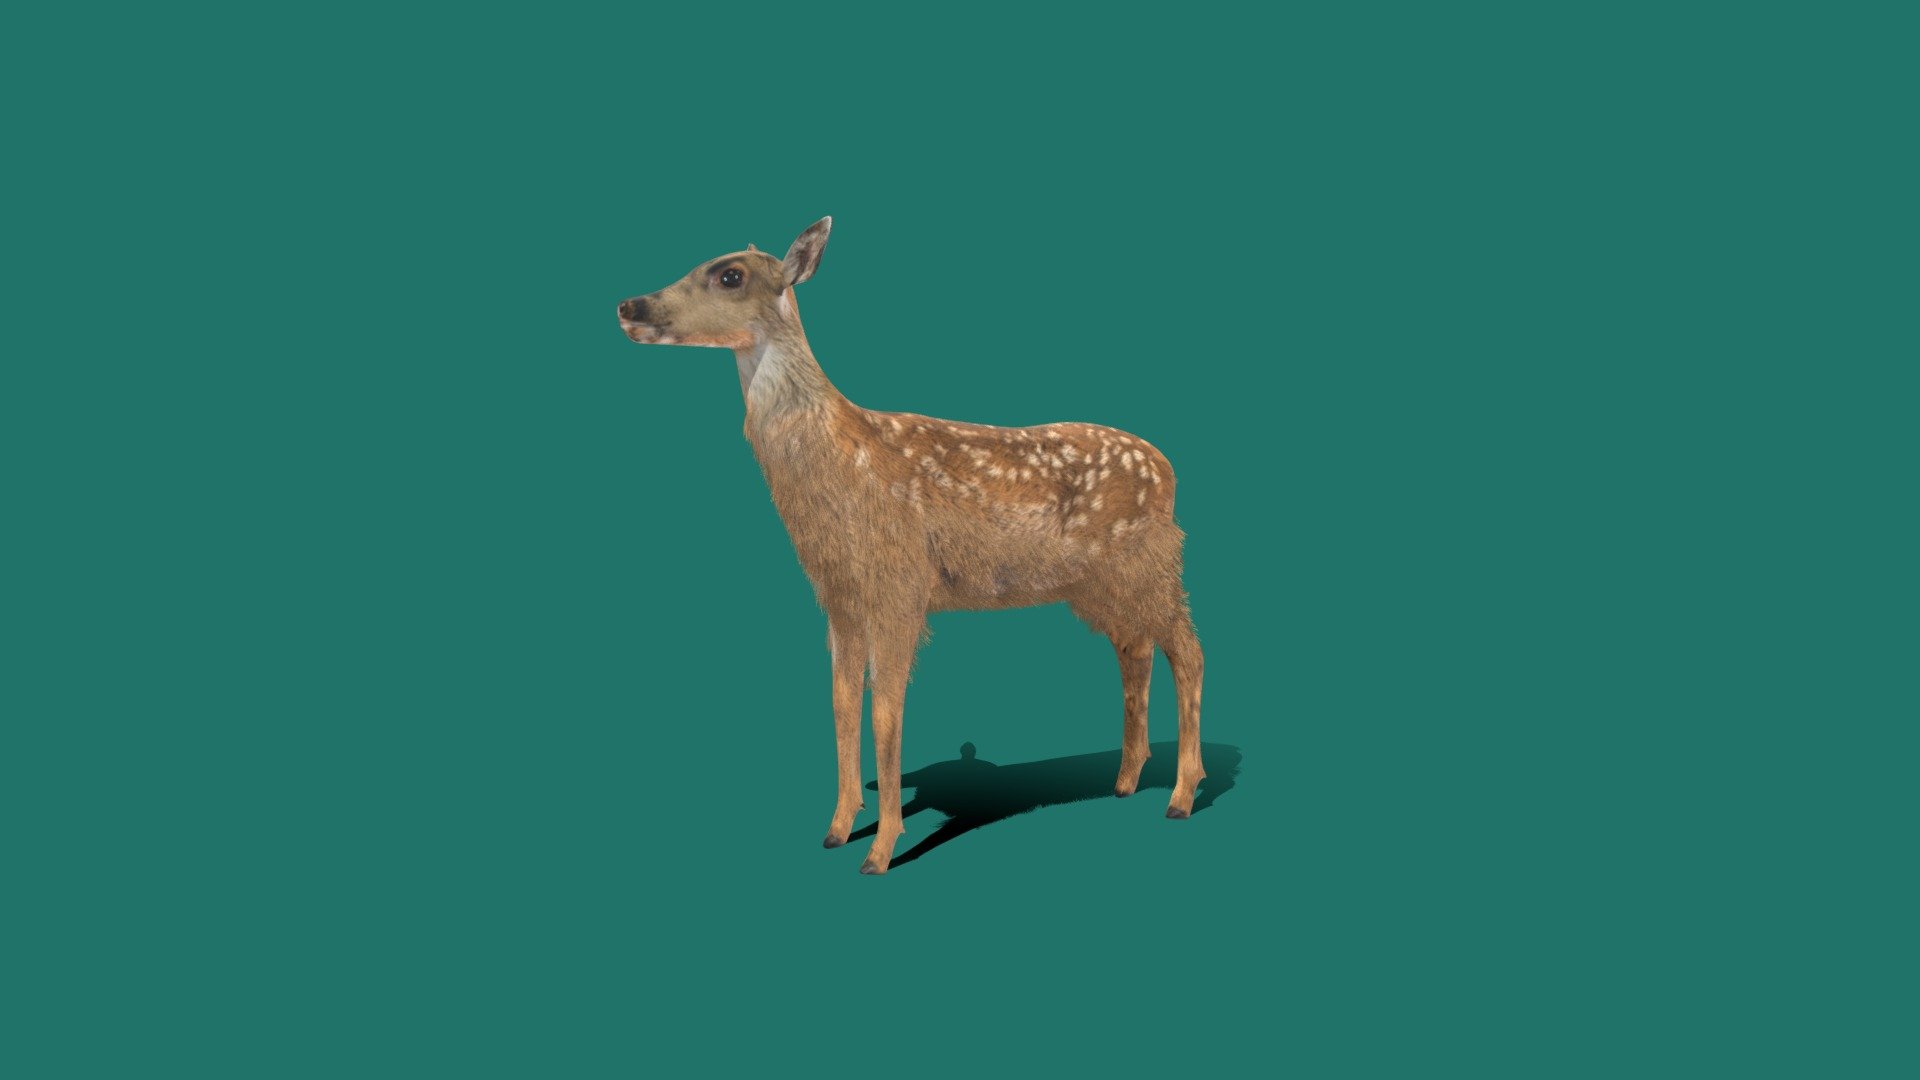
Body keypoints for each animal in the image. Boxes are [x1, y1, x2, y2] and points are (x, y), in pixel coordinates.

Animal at [615, 217, 1205, 874]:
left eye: (730, 275)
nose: (629, 306)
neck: (840, 463)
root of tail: (1168, 471)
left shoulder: (899, 583)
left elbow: (885, 711)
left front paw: (880, 850)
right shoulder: (840, 596)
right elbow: (842, 703)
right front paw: (837, 828)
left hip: (1149, 563)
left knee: (1188, 649)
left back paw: (1181, 795)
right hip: (1099, 584)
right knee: (1136, 651)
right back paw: (1125, 780)